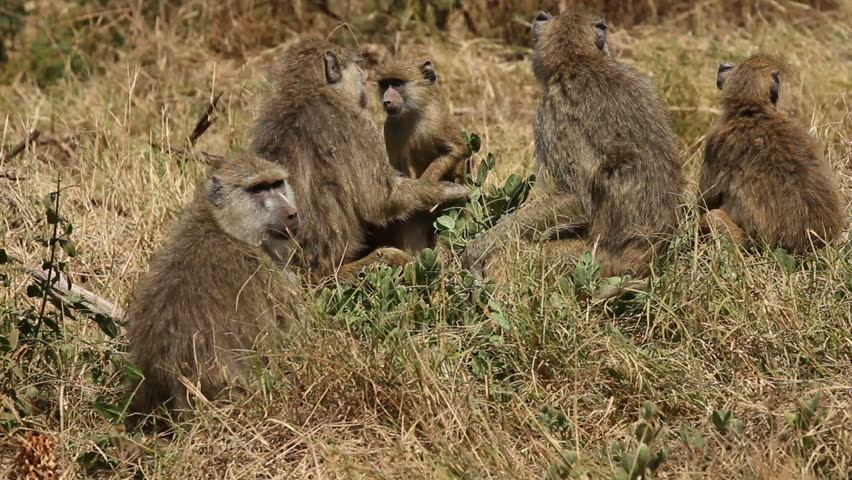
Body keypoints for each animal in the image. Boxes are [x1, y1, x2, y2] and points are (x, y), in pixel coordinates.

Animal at [370, 58, 469, 255]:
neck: (412, 113)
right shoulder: (390, 128)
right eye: (385, 84)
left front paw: (430, 186)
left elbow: (457, 150)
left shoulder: (438, 119)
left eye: (397, 83)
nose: (386, 101)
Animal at [462, 10, 685, 281]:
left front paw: (477, 250)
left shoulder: (548, 115)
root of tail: (647, 254)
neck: (577, 60)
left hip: (590, 259)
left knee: (507, 262)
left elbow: (572, 197)